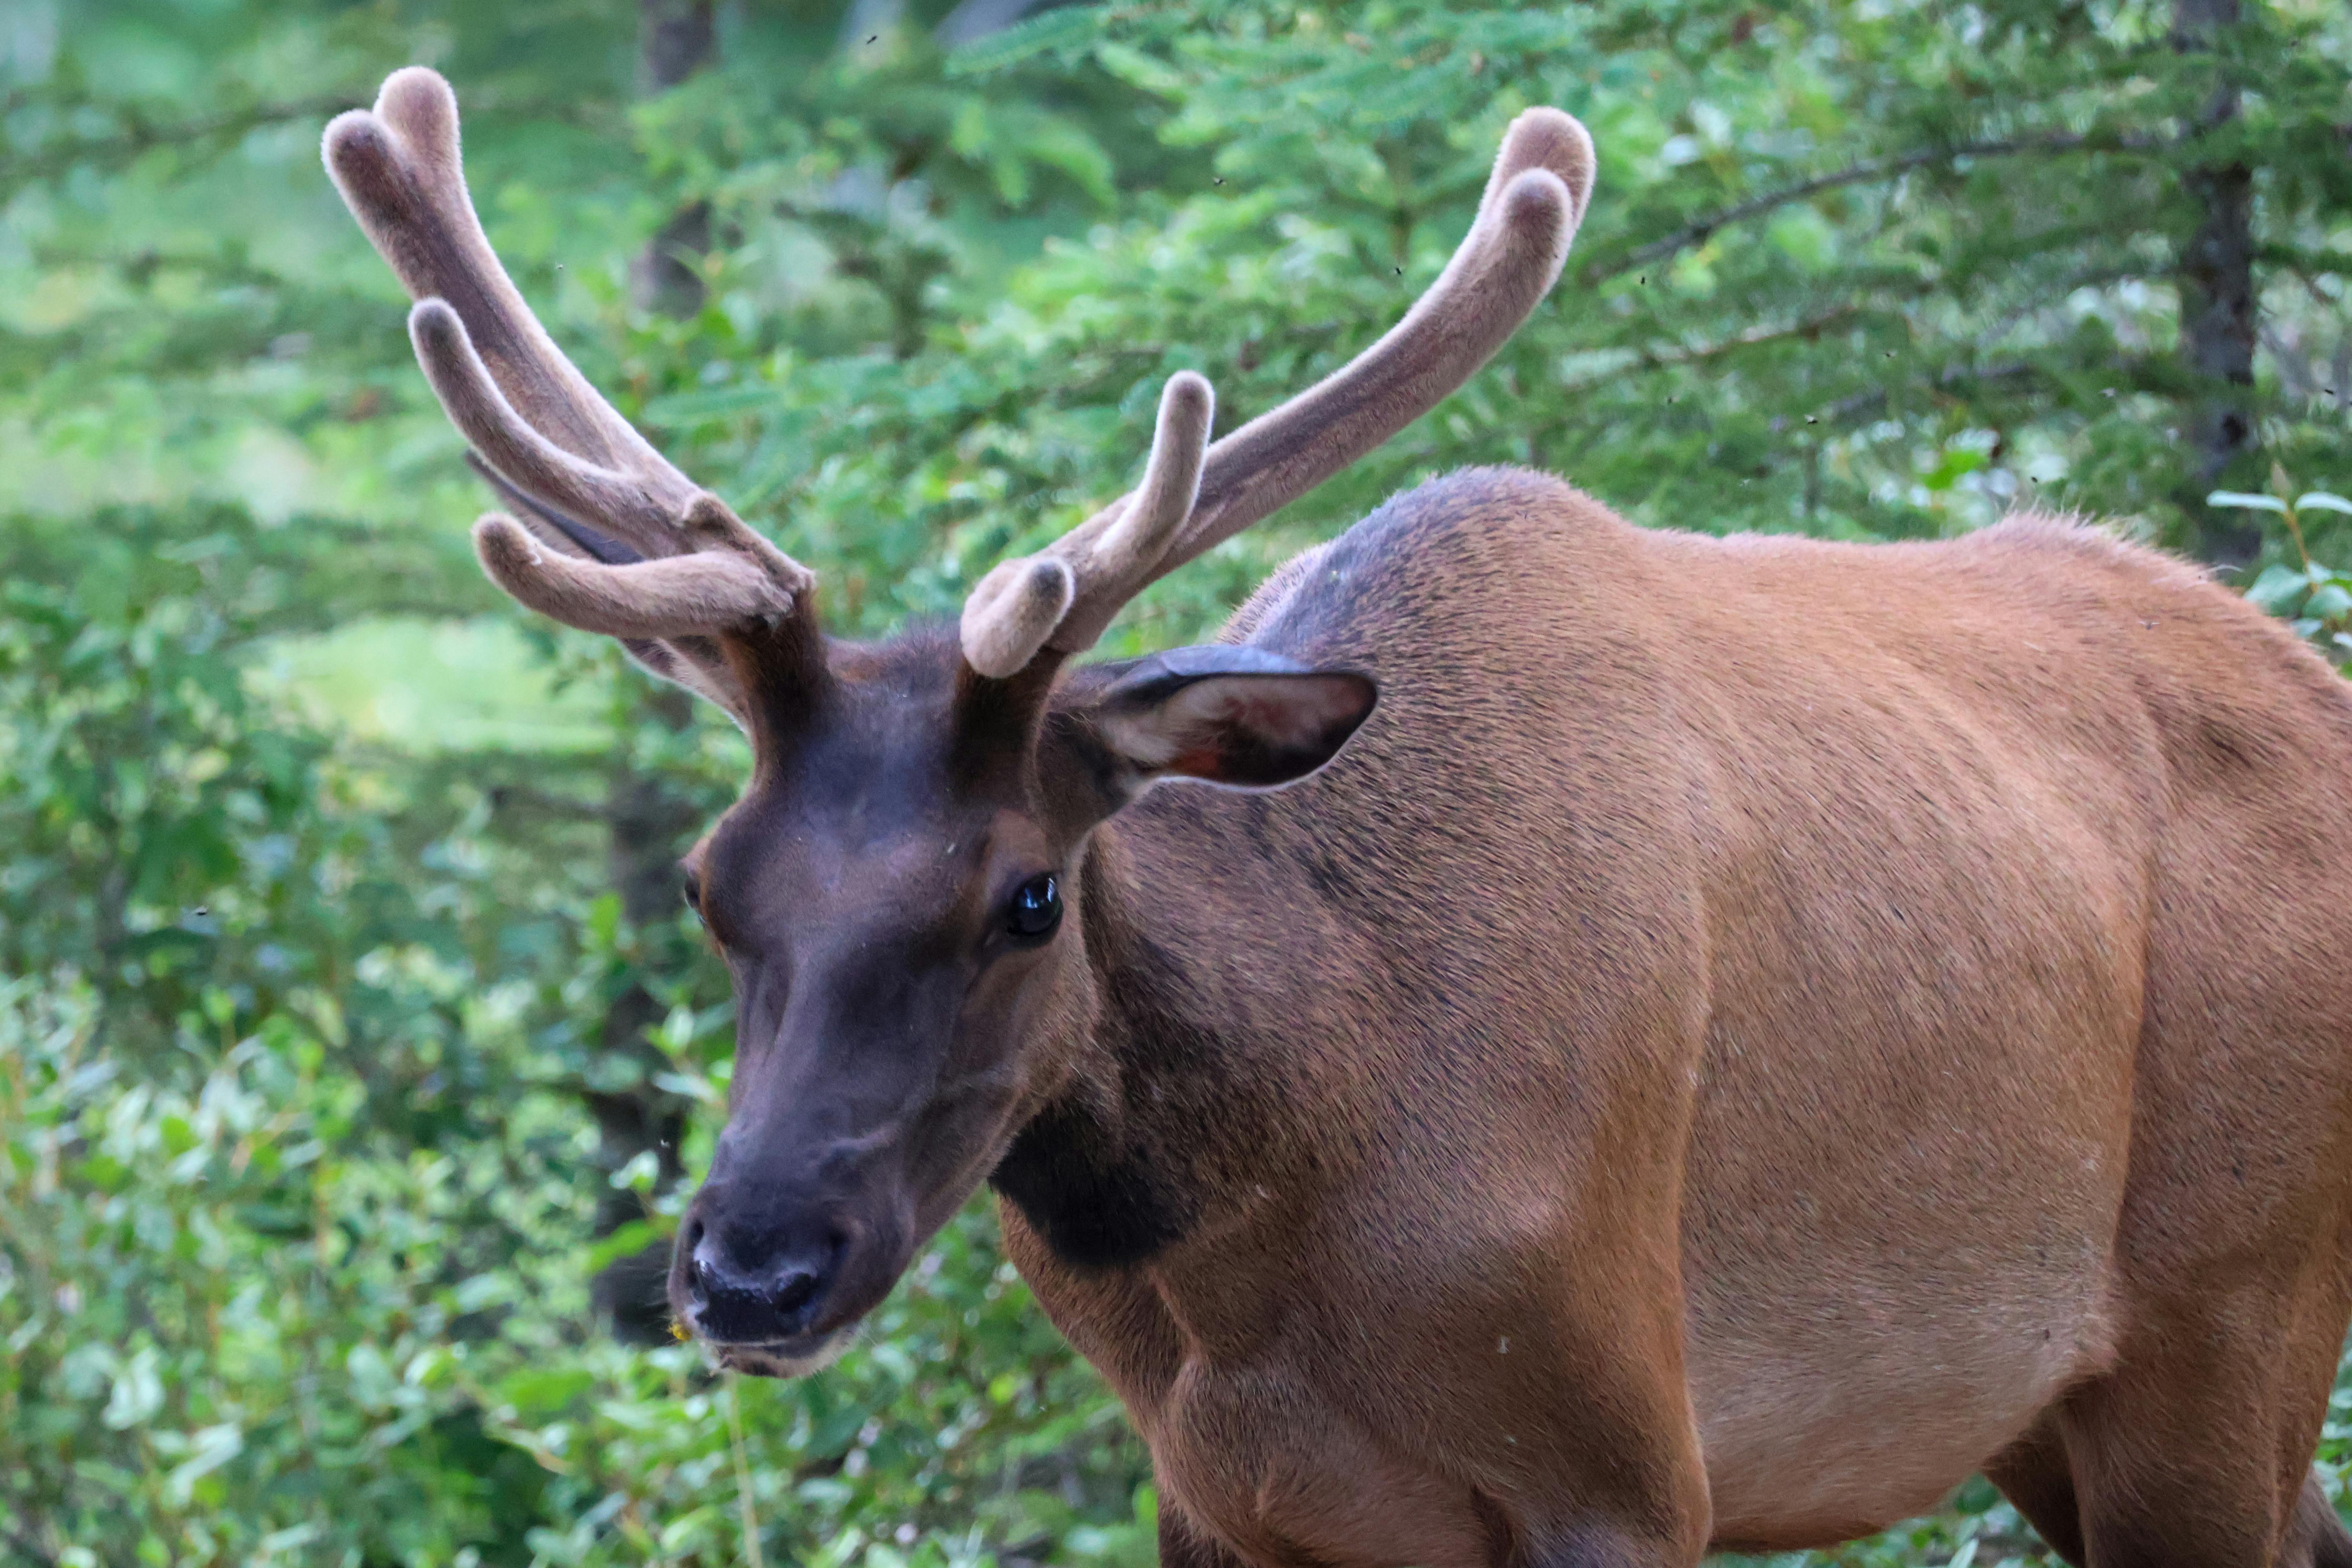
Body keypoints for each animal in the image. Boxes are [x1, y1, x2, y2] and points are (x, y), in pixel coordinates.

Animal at [325, 66, 2352, 1568]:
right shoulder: (1224, 1500)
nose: (749, 1265)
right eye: (709, 885)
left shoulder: (1631, 1457)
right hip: (2072, 1405)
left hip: (2233, 1309)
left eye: (1029, 895)